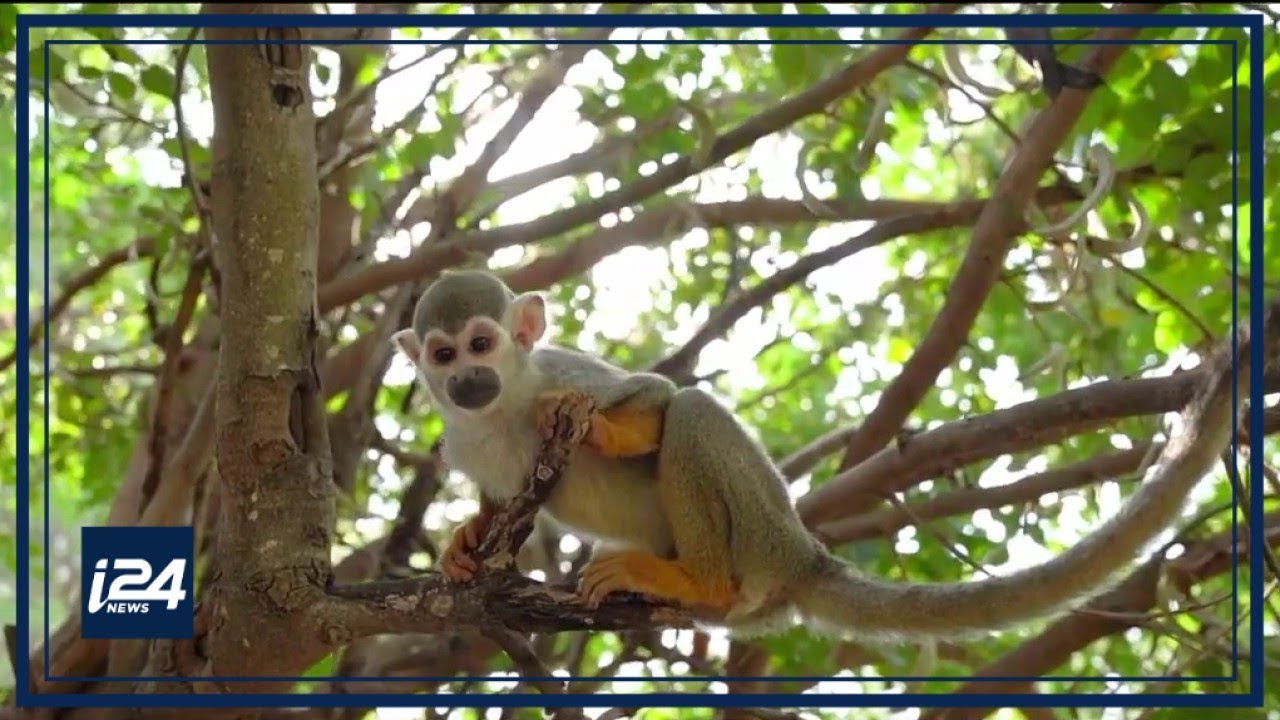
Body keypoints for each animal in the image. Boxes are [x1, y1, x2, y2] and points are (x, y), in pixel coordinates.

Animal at [391, 269, 1249, 640]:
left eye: (483, 344)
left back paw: (694, 579)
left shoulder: (558, 373)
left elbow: (655, 403)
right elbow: (499, 503)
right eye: (441, 355)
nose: (464, 379)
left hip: (758, 536)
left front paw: (598, 428)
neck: (503, 409)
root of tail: (803, 553)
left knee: (695, 412)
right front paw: (467, 543)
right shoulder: (463, 437)